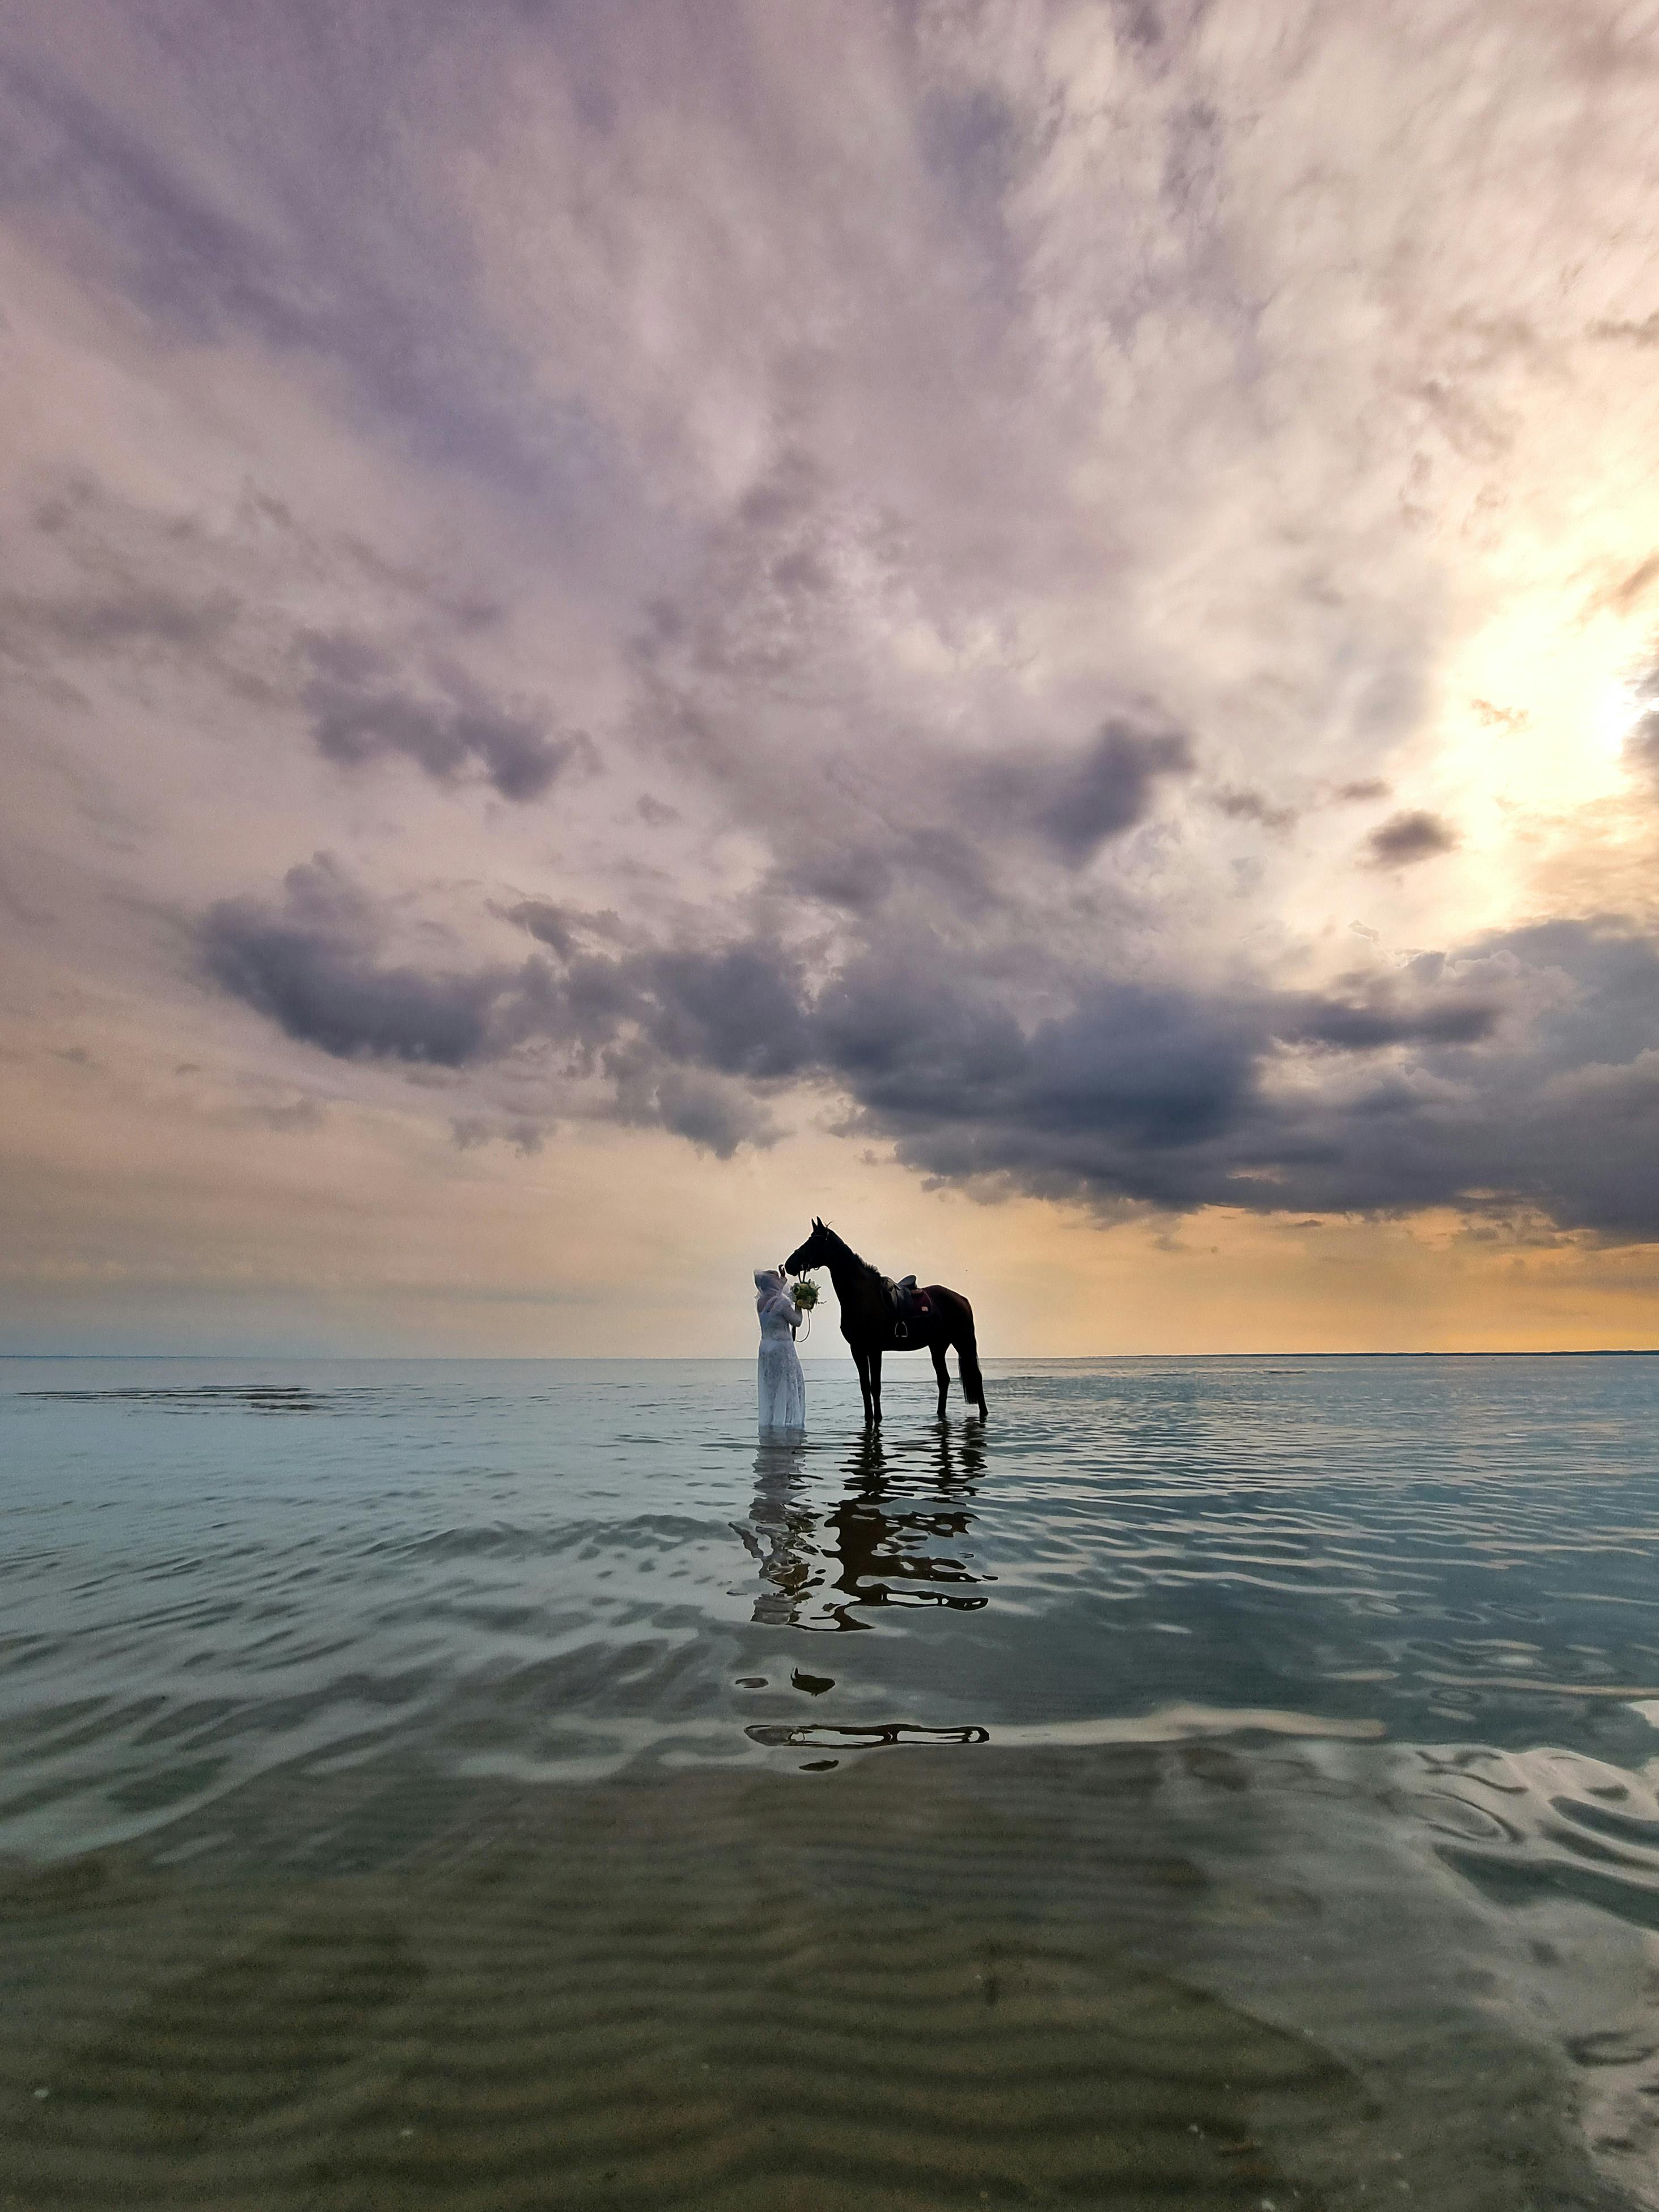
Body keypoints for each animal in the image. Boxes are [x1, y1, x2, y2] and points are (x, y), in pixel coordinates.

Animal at [782, 1218, 988, 1428]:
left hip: (963, 1341)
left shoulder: (874, 1349)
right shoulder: (858, 1349)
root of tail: (961, 1299)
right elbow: (865, 1387)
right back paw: (940, 1414)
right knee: (944, 1380)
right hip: (938, 1346)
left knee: (976, 1376)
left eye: (813, 1242)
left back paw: (984, 1414)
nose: (789, 1264)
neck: (862, 1296)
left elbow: (875, 1387)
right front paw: (869, 1418)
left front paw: (878, 1419)